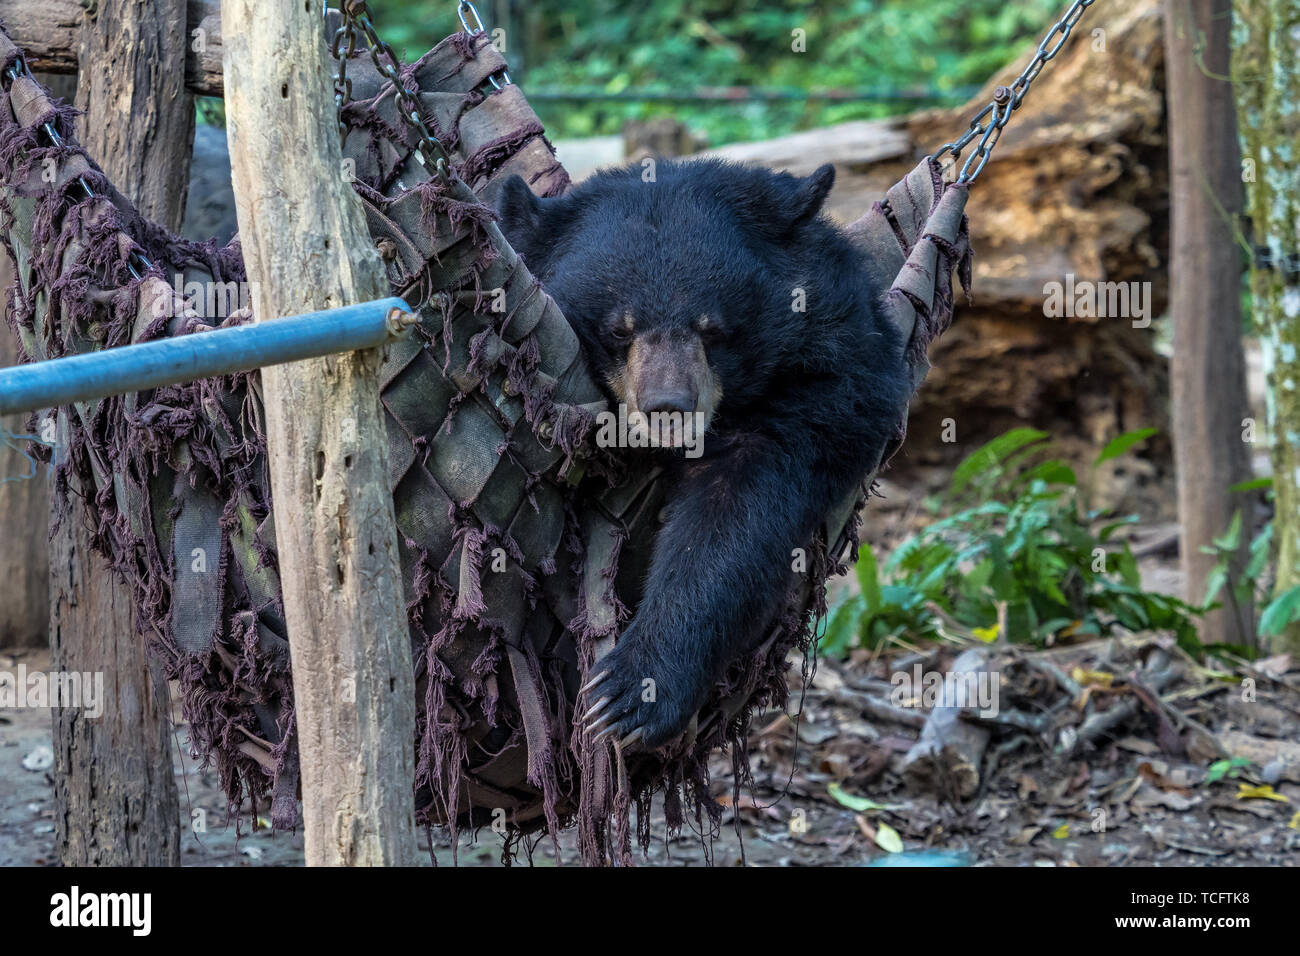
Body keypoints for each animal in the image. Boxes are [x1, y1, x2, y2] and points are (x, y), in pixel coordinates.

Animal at [496, 158, 911, 750]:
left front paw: (628, 695)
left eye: (713, 330)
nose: (669, 407)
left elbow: (734, 519)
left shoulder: (824, 378)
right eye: (618, 330)